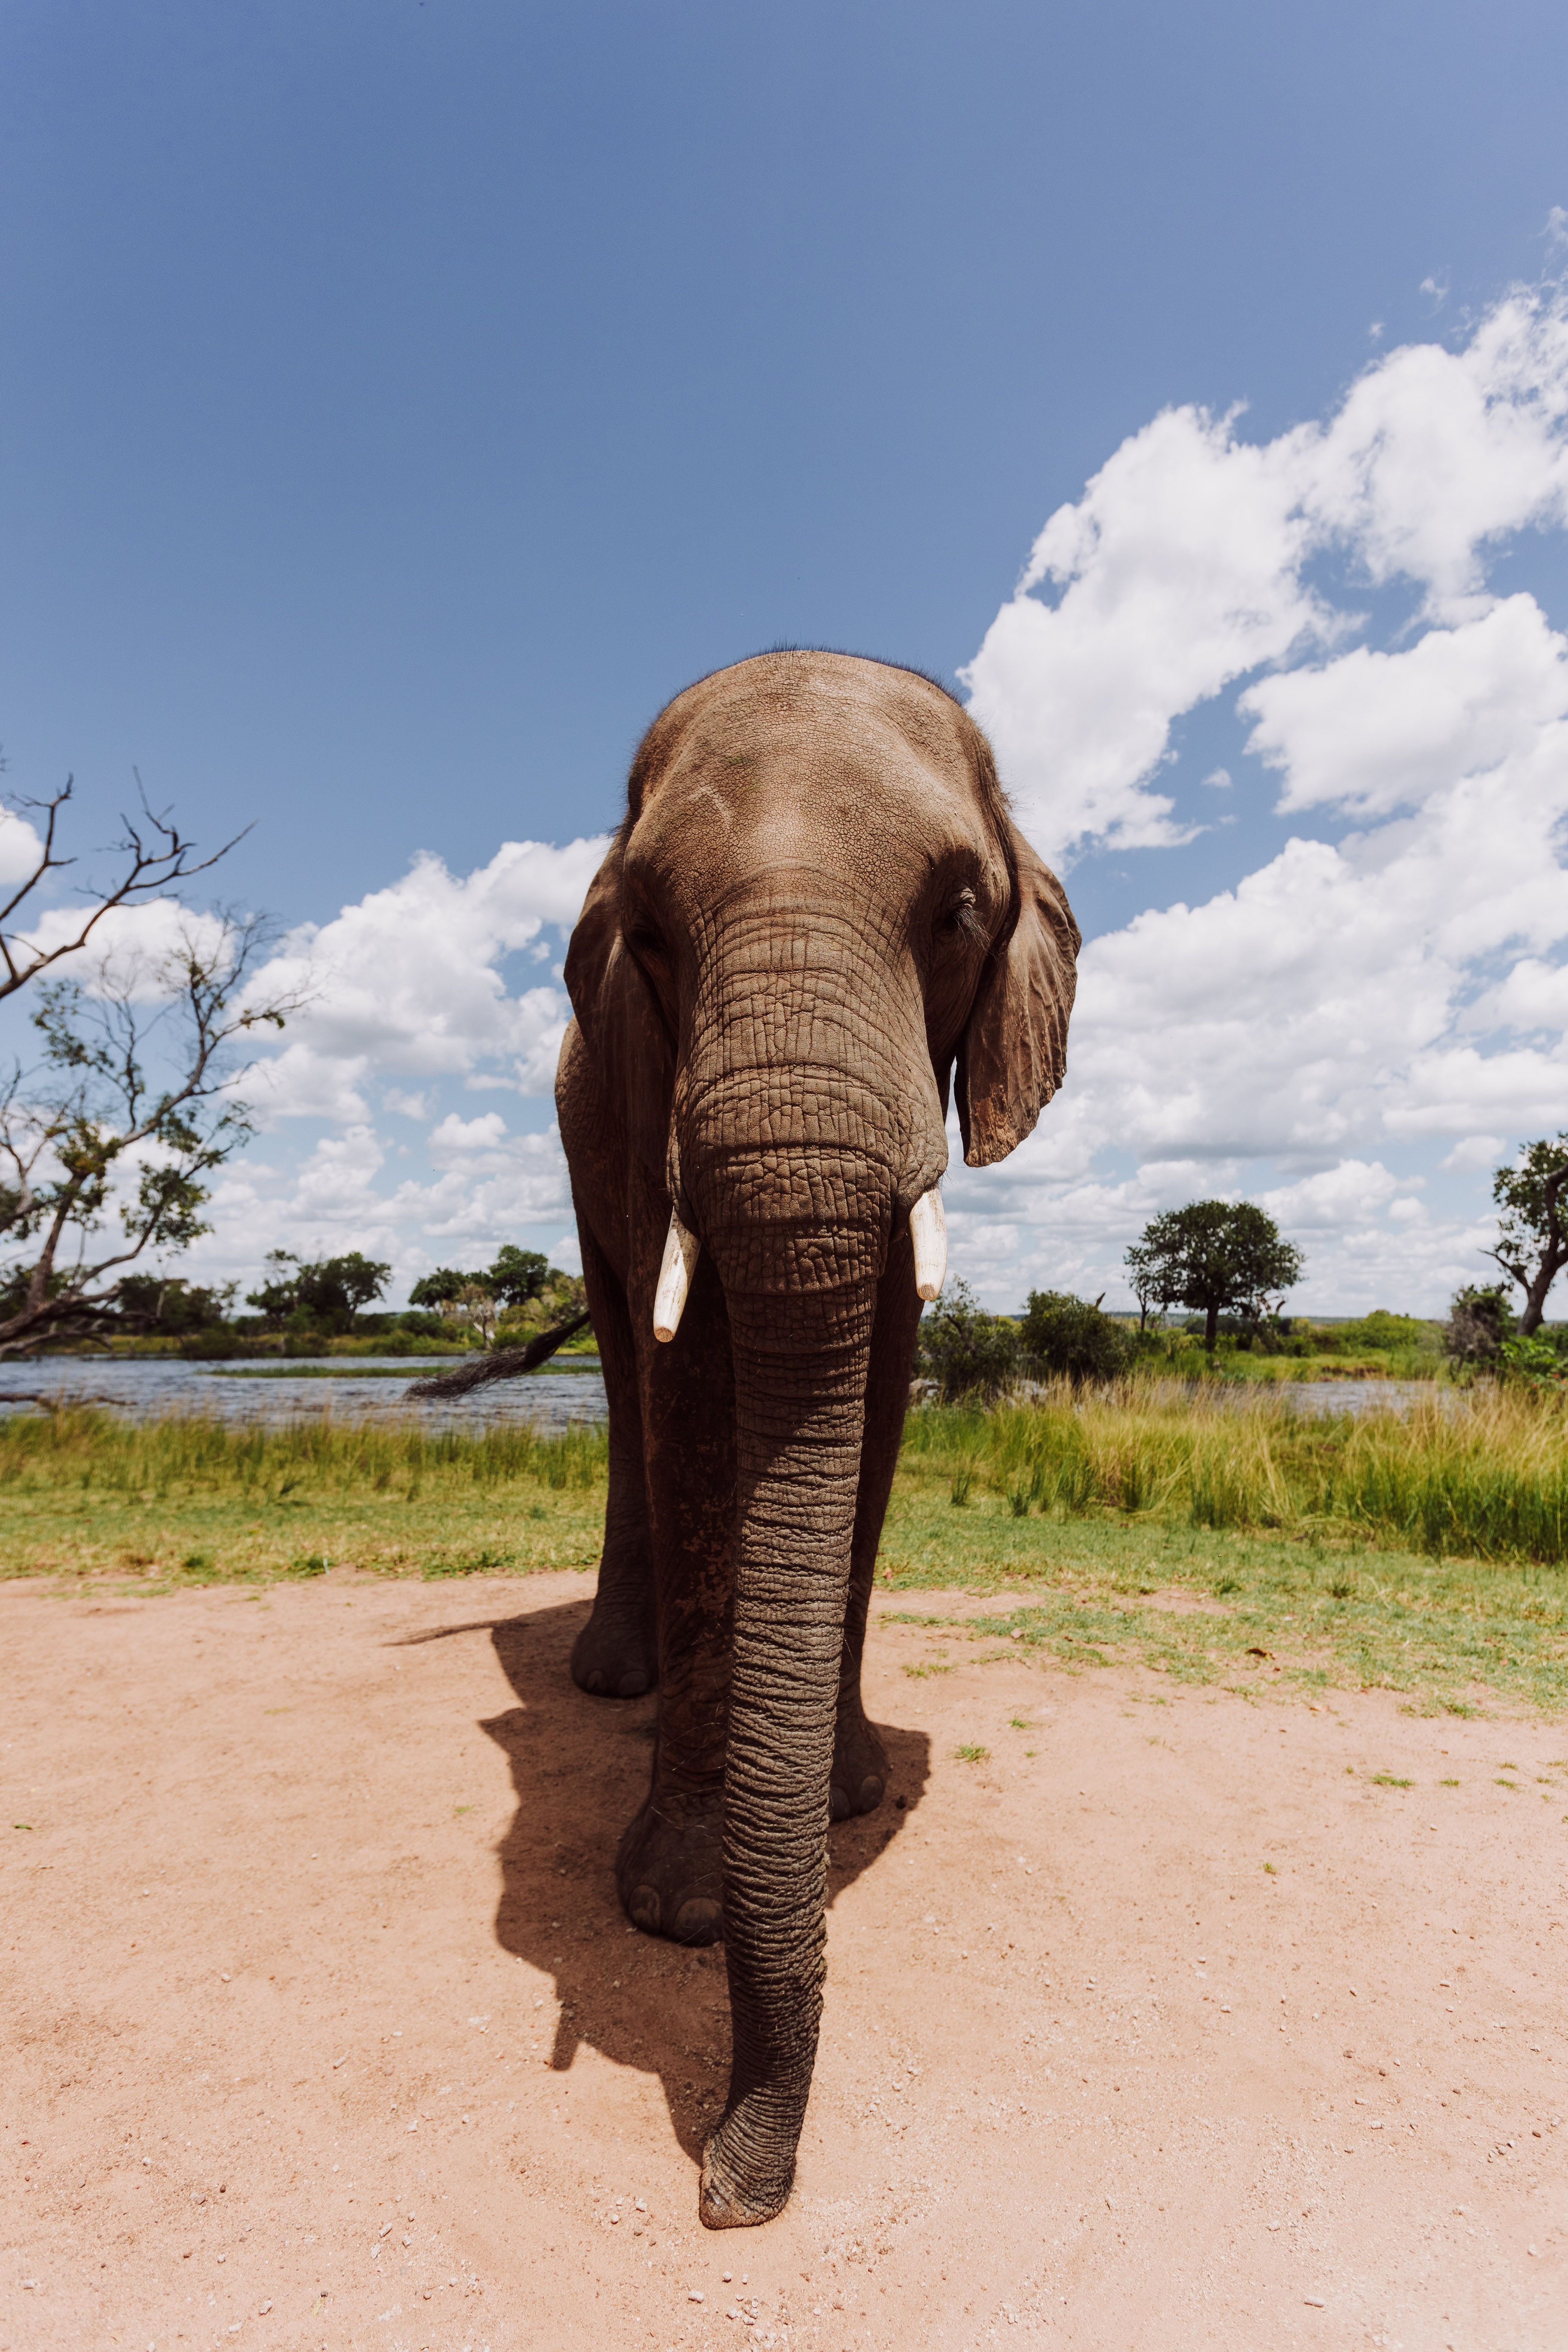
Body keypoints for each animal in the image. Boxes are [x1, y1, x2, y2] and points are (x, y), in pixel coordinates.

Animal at [553, 648, 1078, 2229]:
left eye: (955, 912)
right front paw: (673, 1909)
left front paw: (847, 1804)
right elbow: (688, 1397)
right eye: (650, 932)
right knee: (625, 1360)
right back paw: (610, 1681)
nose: (730, 2188)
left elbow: (884, 1388)